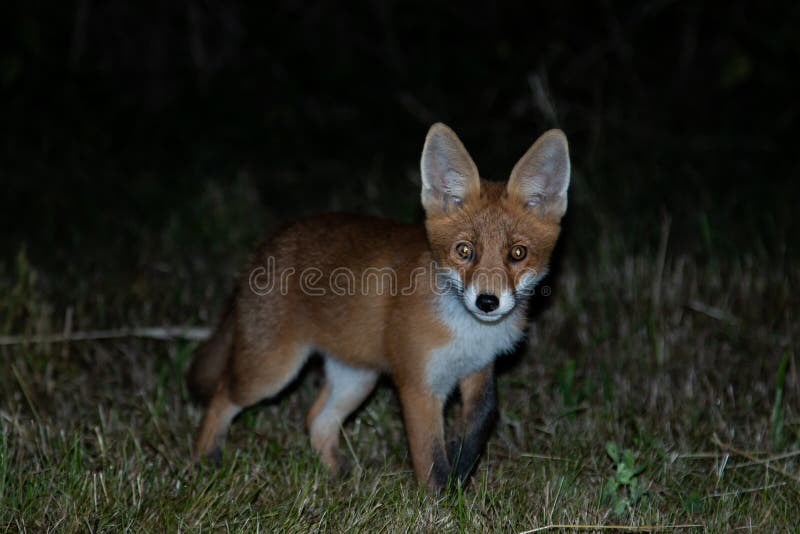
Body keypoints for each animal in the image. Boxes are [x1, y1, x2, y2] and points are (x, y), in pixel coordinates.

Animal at [187, 122, 570, 491]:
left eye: (517, 253)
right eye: (464, 251)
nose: (487, 302)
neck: (468, 333)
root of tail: (268, 242)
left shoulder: (478, 371)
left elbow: (479, 426)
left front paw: (461, 478)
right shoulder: (418, 385)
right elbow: (431, 459)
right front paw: (442, 503)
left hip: (357, 377)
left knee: (316, 420)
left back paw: (339, 478)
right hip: (273, 371)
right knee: (221, 397)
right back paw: (205, 460)